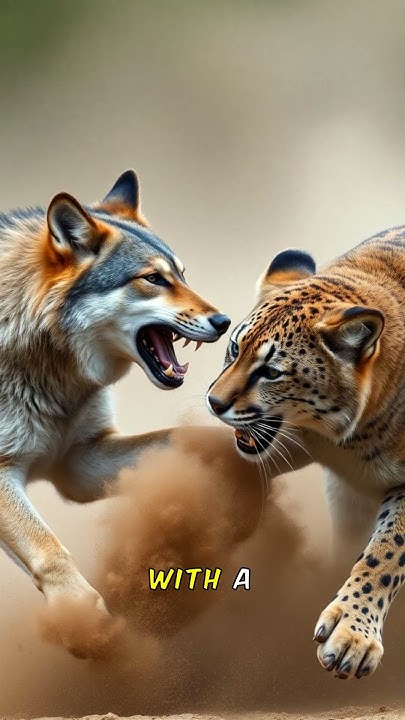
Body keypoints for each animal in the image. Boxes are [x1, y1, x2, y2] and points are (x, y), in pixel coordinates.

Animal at [0, 169, 230, 636]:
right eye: (153, 279)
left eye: (182, 275)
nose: (224, 321)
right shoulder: (4, 469)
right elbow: (48, 548)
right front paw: (85, 622)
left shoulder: (78, 462)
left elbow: (189, 438)